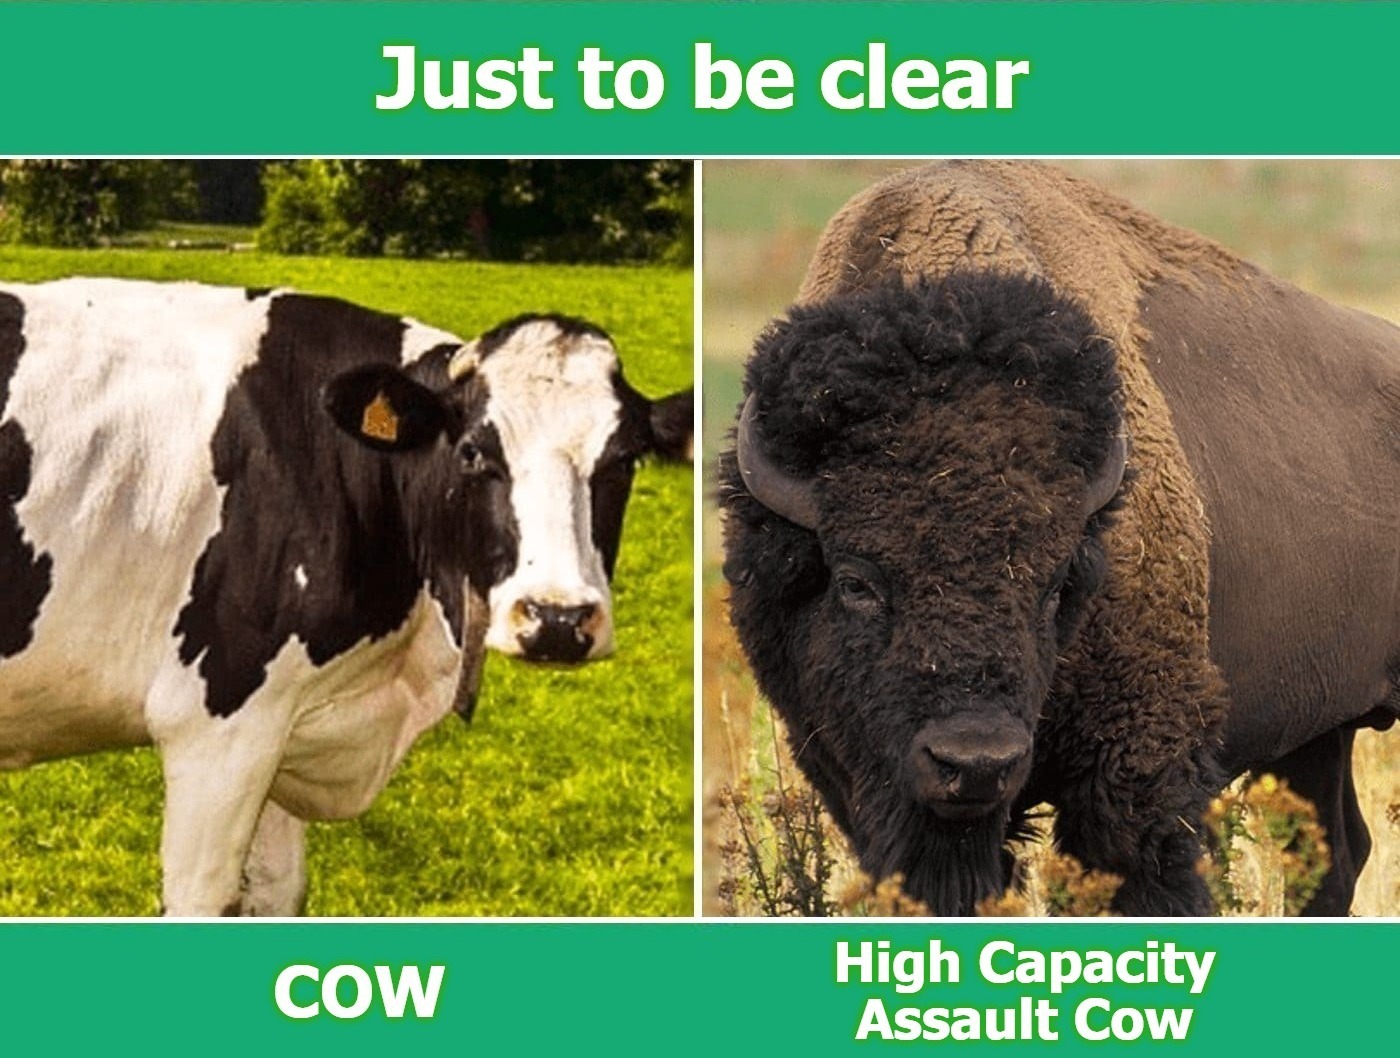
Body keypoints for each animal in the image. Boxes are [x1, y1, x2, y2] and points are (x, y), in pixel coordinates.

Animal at [0, 277, 692, 915]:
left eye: (626, 460)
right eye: (472, 452)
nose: (556, 618)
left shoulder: (280, 726)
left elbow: (279, 892)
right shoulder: (215, 721)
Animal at [720, 160, 1400, 916]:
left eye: (1053, 586)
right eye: (855, 582)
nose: (974, 763)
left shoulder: (1135, 771)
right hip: (1321, 730)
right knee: (1338, 851)